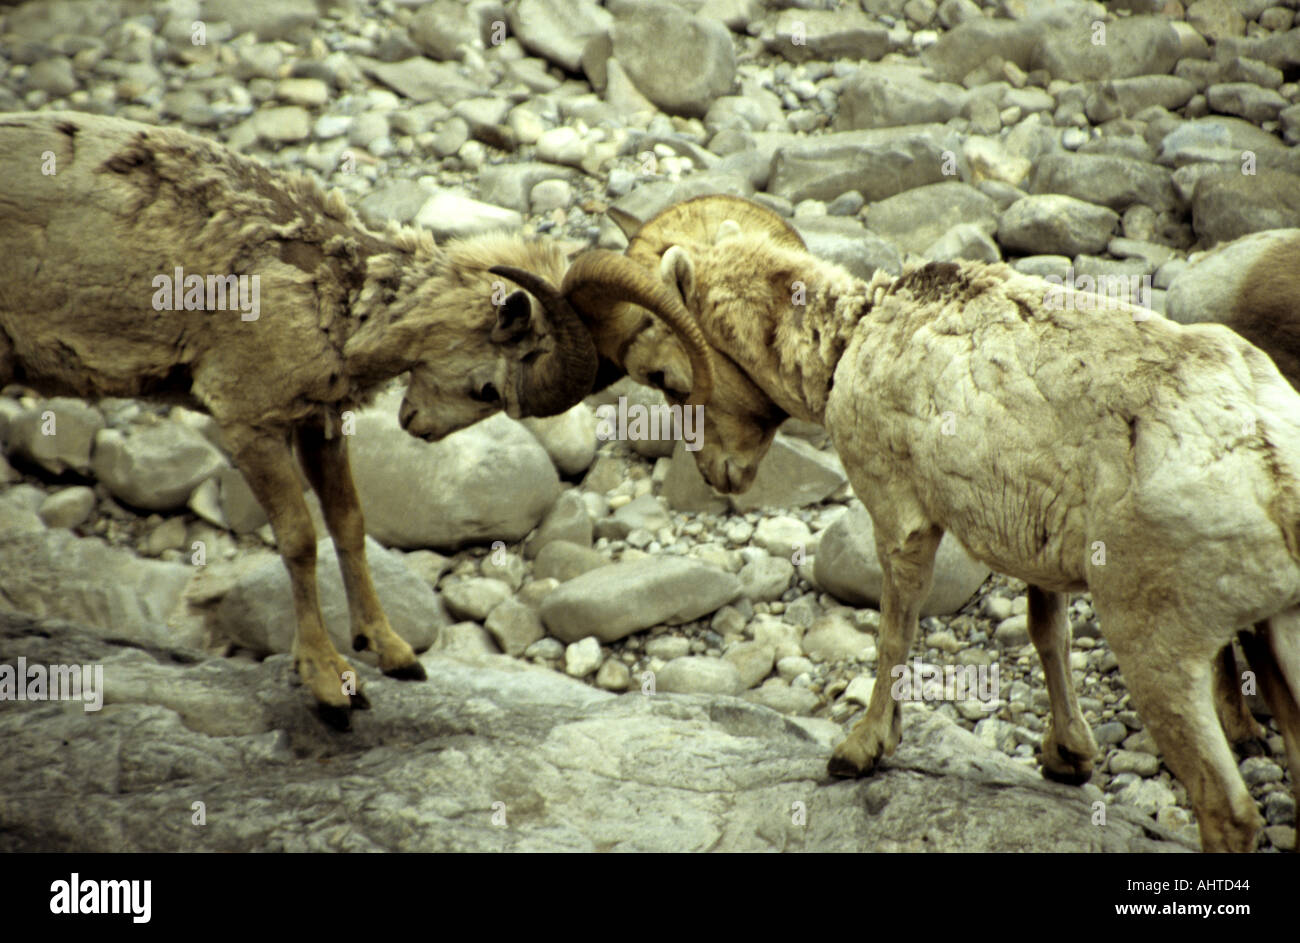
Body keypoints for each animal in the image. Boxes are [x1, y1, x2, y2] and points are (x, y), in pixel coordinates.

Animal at [0, 111, 715, 726]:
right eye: (489, 388)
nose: (417, 426)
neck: (332, 300)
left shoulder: (316, 420)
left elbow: (348, 522)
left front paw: (392, 653)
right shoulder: (249, 421)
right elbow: (297, 539)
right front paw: (328, 684)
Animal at [559, 226, 1300, 852]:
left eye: (665, 377)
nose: (719, 474)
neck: (853, 339)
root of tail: (1272, 470)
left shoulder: (901, 516)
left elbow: (895, 631)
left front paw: (859, 751)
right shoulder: (1036, 551)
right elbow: (1048, 633)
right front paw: (1067, 757)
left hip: (1159, 648)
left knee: (1228, 809)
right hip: (1282, 635)